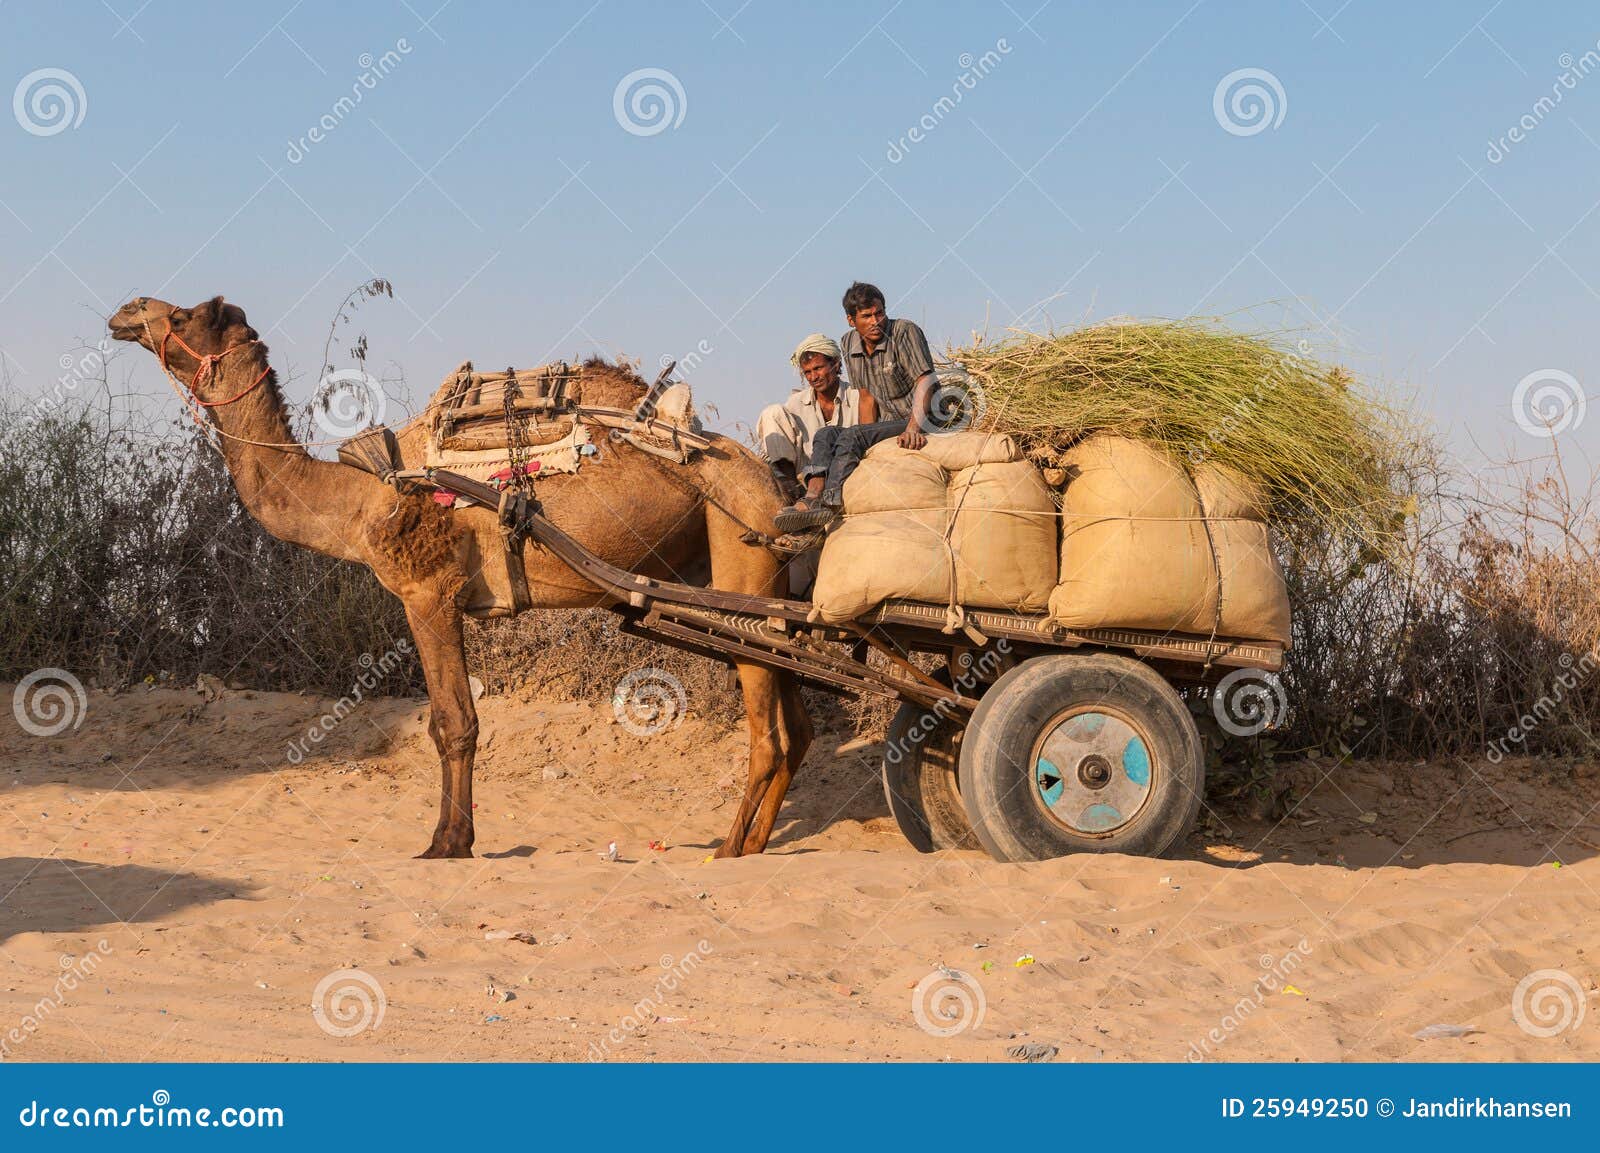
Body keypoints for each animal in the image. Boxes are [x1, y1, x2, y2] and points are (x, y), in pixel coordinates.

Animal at [109, 295, 812, 859]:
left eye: (184, 316)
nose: (127, 310)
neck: (362, 499)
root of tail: (773, 483)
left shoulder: (428, 592)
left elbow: (453, 723)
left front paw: (447, 843)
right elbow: (452, 721)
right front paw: (455, 838)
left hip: (740, 556)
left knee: (769, 736)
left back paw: (727, 849)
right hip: (755, 590)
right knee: (795, 720)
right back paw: (754, 840)